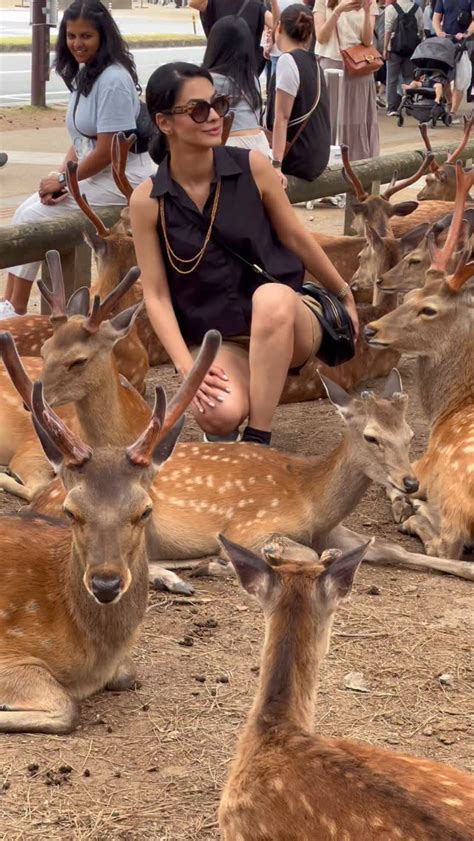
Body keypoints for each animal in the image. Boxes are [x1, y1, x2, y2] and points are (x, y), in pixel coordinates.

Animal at [365, 162, 474, 560]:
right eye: (410, 296)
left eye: (429, 309)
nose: (370, 328)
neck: (448, 410)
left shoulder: (425, 463)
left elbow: (392, 481)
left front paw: (405, 503)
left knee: (448, 544)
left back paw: (415, 516)